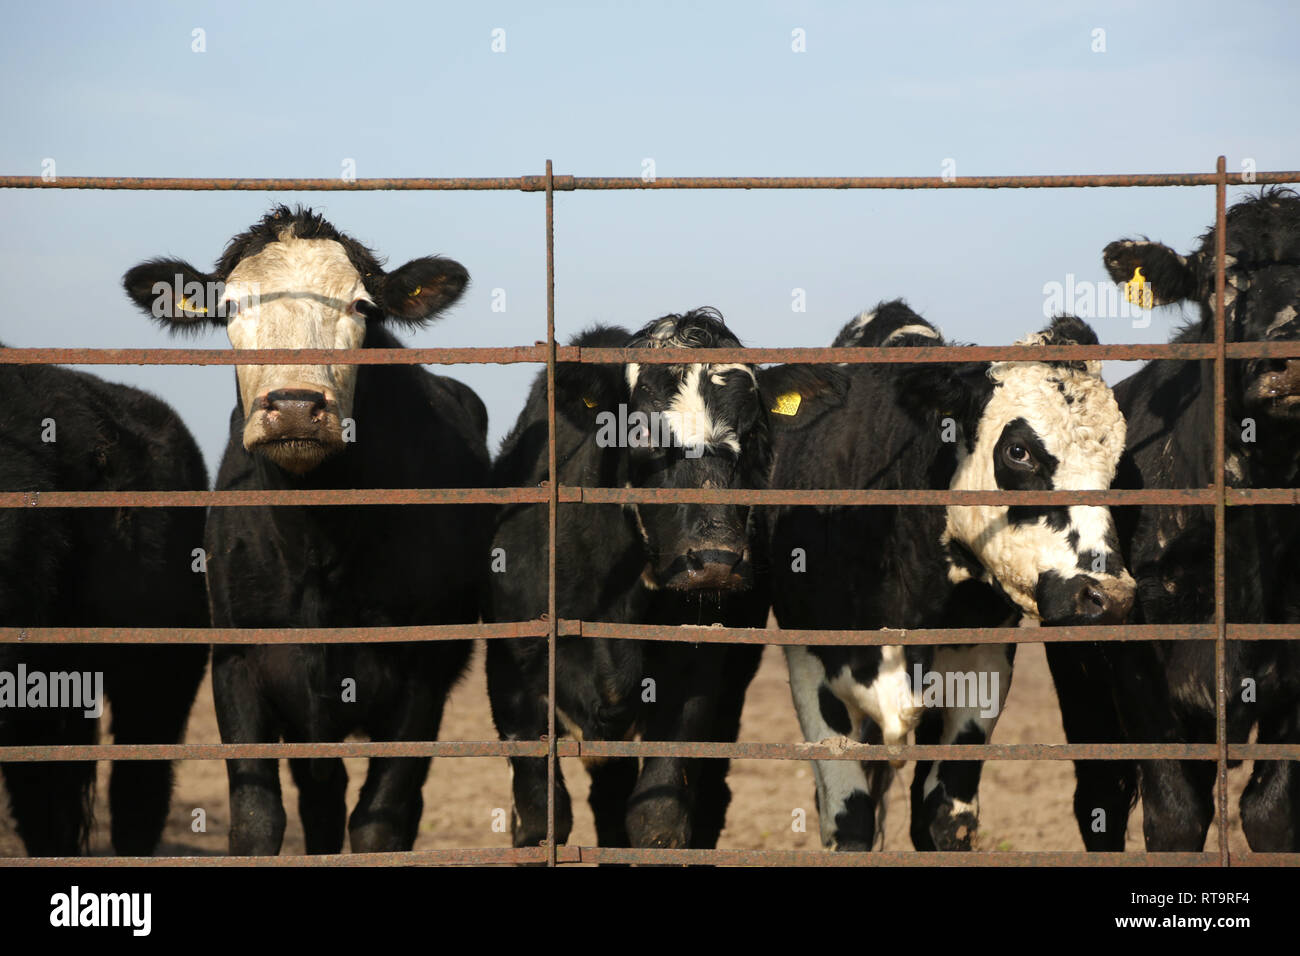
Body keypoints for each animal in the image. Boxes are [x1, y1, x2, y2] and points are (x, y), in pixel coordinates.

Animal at [122, 205, 491, 855]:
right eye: (232, 307)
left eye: (362, 306)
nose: (295, 406)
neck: (317, 541)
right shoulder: (238, 663)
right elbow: (256, 817)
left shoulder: (420, 677)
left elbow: (379, 821)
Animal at [486, 308, 794, 851]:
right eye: (643, 434)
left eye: (755, 434)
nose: (716, 559)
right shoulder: (512, 678)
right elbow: (540, 818)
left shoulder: (695, 677)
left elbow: (659, 820)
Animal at [767, 302, 1135, 851]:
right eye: (1019, 451)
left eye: (1115, 460)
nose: (1108, 596)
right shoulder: (811, 667)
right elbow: (849, 820)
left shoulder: (983, 669)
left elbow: (946, 818)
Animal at [1047, 187, 1300, 852]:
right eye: (1221, 280)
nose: (1288, 358)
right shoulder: (1140, 670)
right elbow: (1175, 817)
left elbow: (1271, 813)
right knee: (1099, 801)